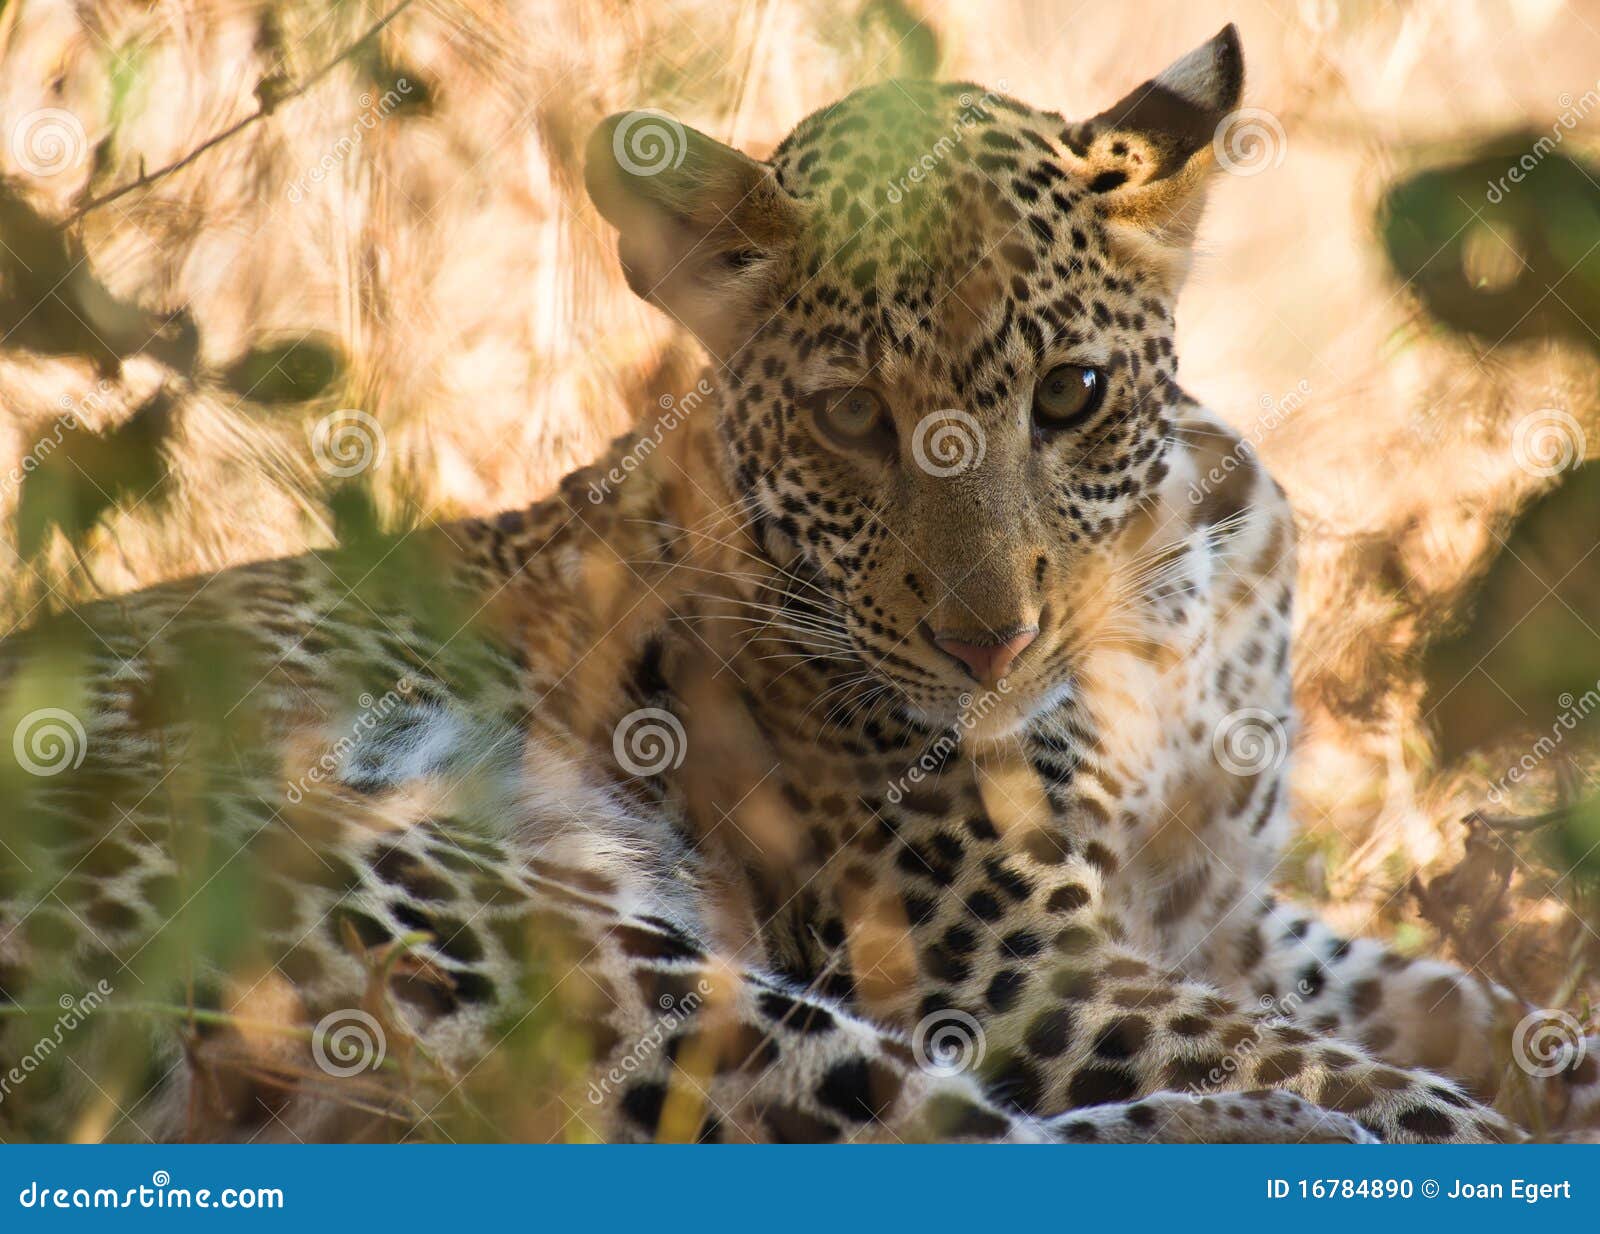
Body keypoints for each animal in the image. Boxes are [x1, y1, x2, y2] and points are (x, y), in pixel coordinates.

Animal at [1, 23, 1595, 1146]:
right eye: (849, 418)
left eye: (1071, 394)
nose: (988, 643)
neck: (1154, 609)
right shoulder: (1006, 963)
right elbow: (1360, 1066)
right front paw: (1441, 1124)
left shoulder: (1218, 911)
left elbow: (1460, 1002)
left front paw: (1545, 1062)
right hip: (482, 908)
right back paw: (1274, 1134)